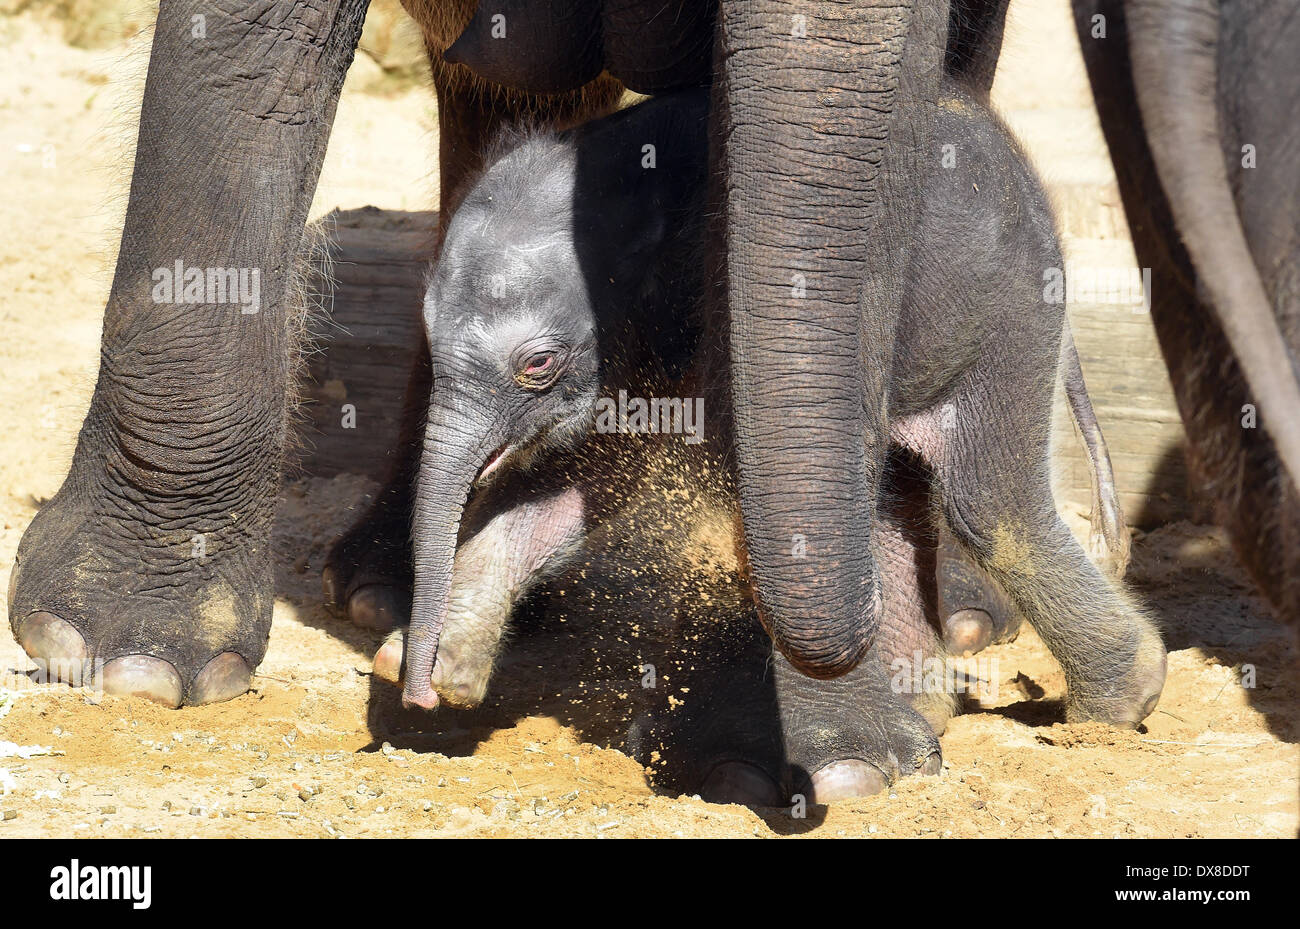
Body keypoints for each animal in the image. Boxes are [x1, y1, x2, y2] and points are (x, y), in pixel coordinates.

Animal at [365, 81, 1164, 801]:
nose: (417, 698)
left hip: (1009, 309)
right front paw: (417, 665)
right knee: (898, 495)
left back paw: (1117, 707)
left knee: (989, 500)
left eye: (537, 364)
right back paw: (928, 705)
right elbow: (566, 487)